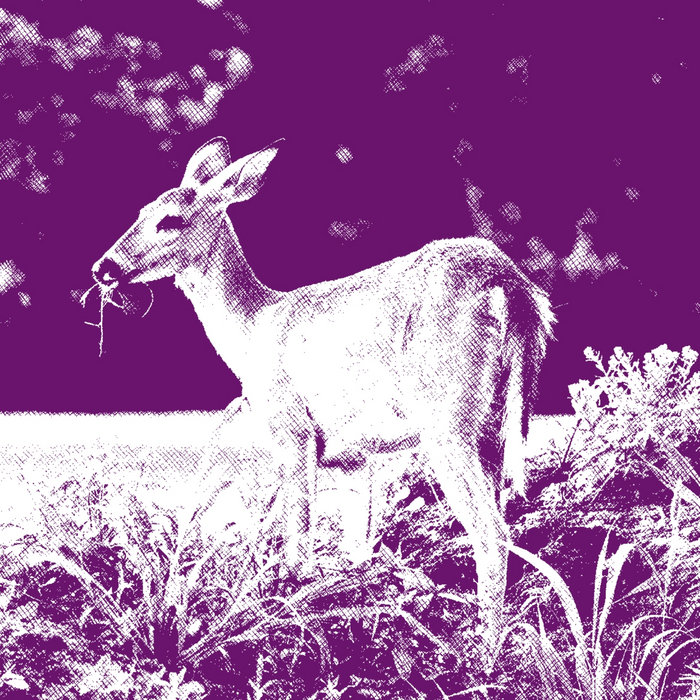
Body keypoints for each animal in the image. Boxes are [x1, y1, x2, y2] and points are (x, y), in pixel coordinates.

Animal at [91, 136, 555, 653]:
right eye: (140, 209)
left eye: (169, 220)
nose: (103, 267)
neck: (254, 329)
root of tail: (510, 286)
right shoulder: (355, 458)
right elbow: (356, 550)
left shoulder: (292, 426)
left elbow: (298, 537)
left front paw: (286, 613)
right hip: (498, 418)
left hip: (446, 416)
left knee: (491, 532)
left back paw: (482, 651)